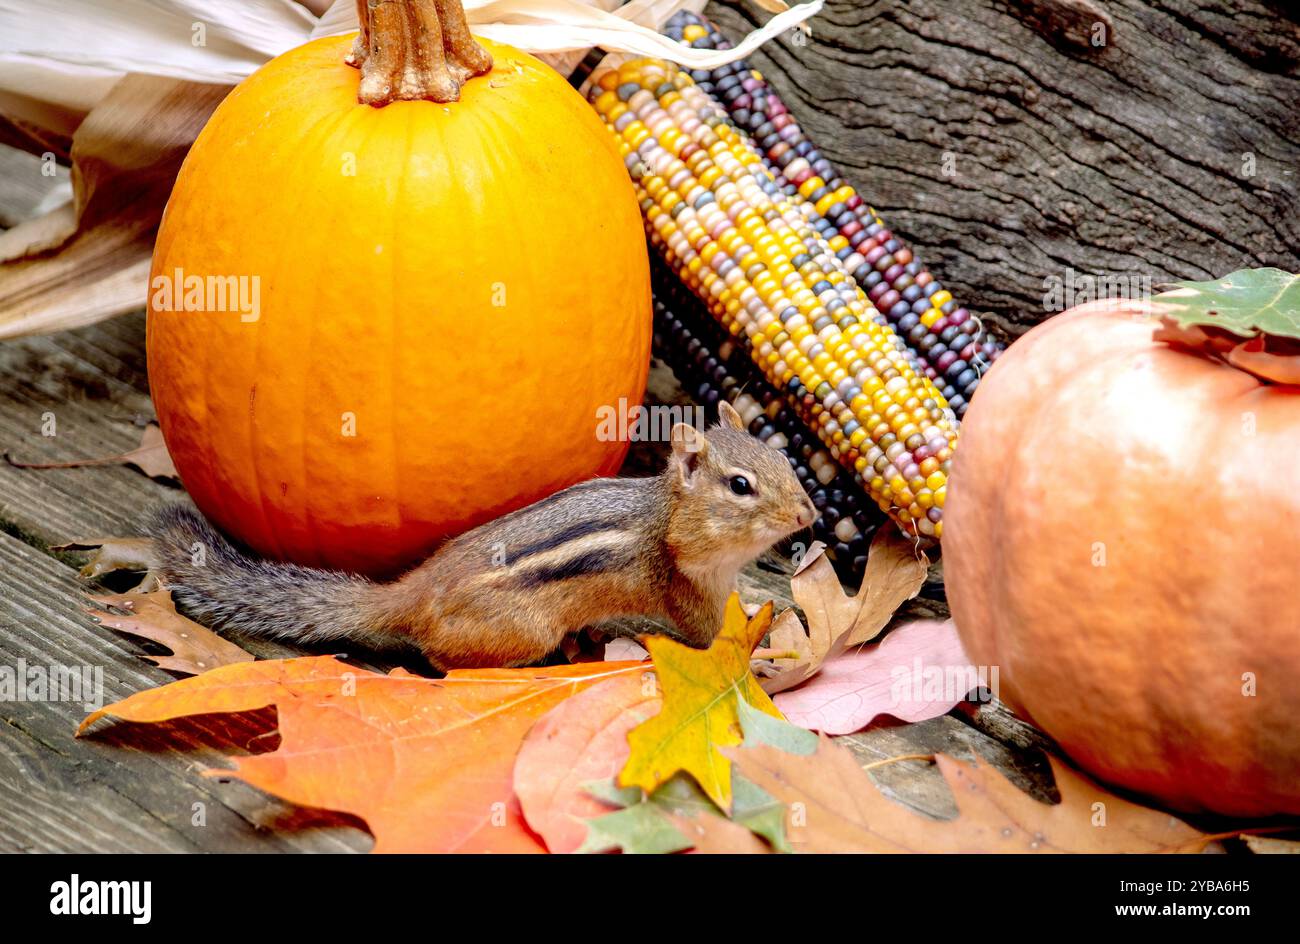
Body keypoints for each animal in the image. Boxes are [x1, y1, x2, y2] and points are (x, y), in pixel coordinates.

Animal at [149, 400, 818, 671]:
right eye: (740, 486)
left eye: (784, 459)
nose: (808, 515)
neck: (667, 521)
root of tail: (410, 593)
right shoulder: (686, 593)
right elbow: (716, 638)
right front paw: (765, 644)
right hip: (519, 630)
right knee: (438, 659)